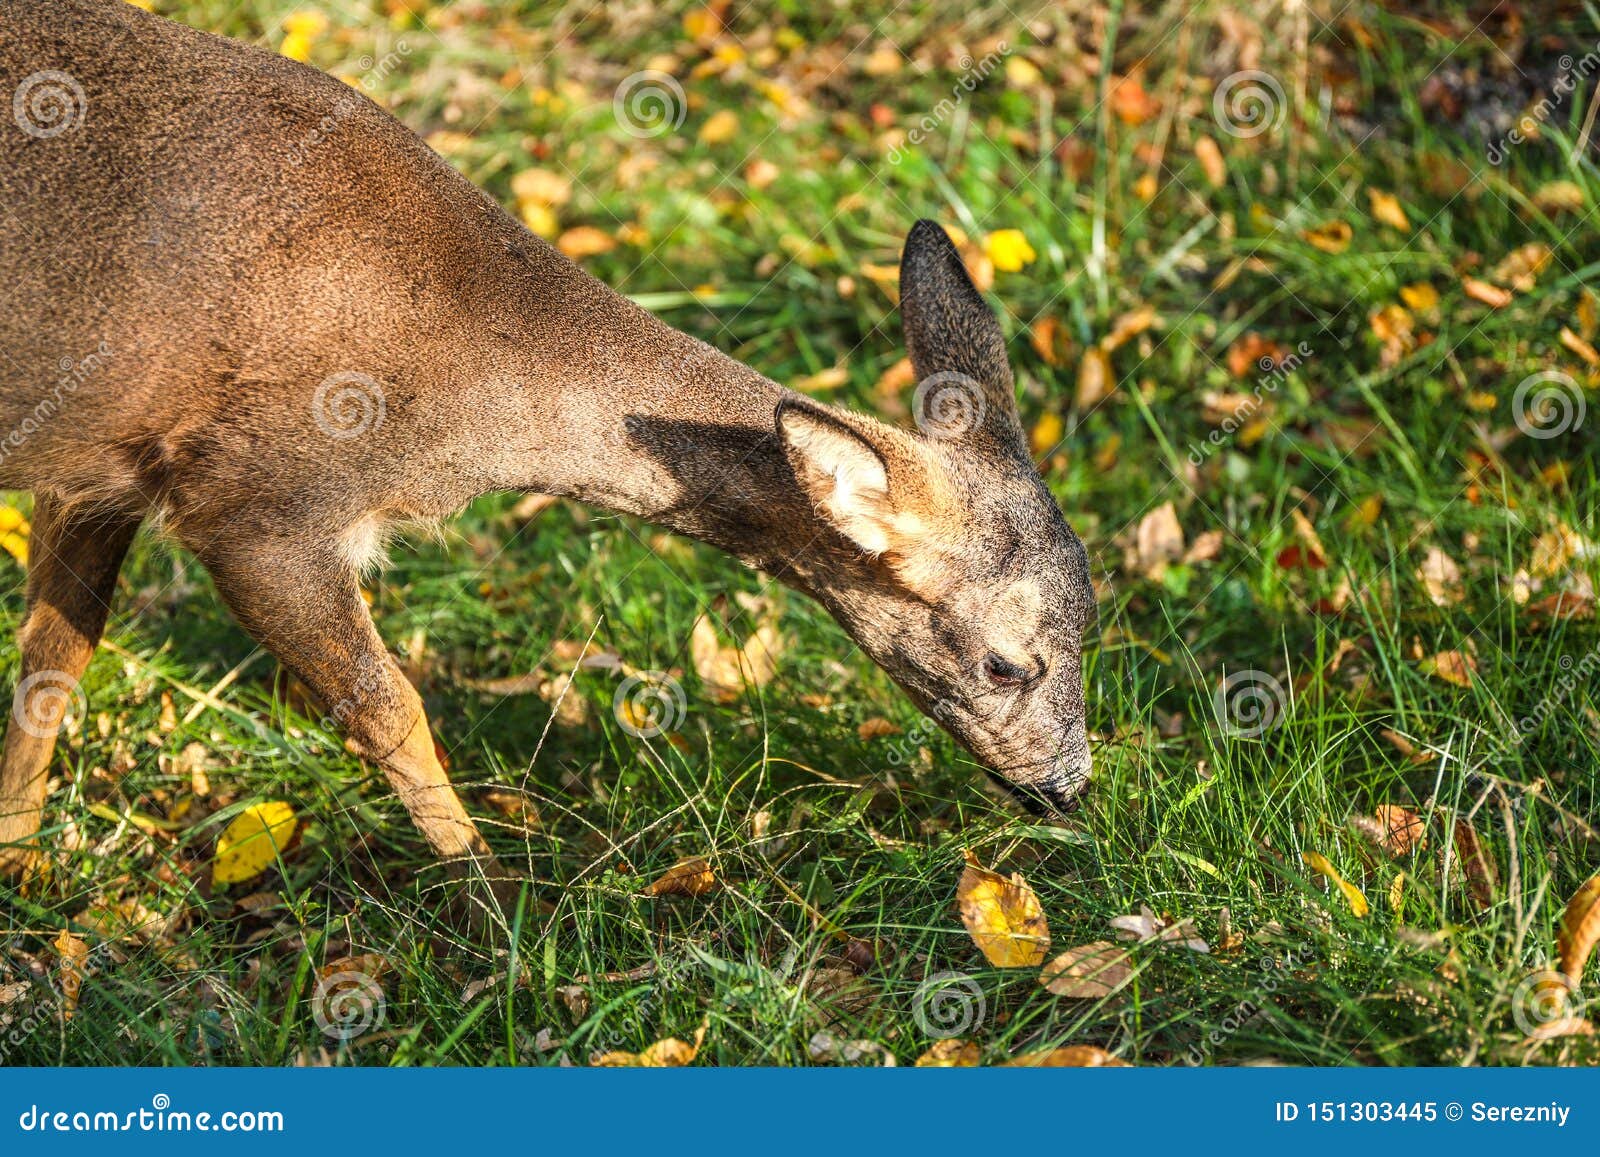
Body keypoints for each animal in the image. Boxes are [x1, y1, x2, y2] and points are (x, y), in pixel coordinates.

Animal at [0, 0, 1098, 910]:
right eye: (1007, 661)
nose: (1069, 786)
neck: (464, 383)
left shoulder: (96, 463)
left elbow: (54, 659)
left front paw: (19, 866)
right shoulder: (255, 506)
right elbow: (391, 709)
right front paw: (496, 912)